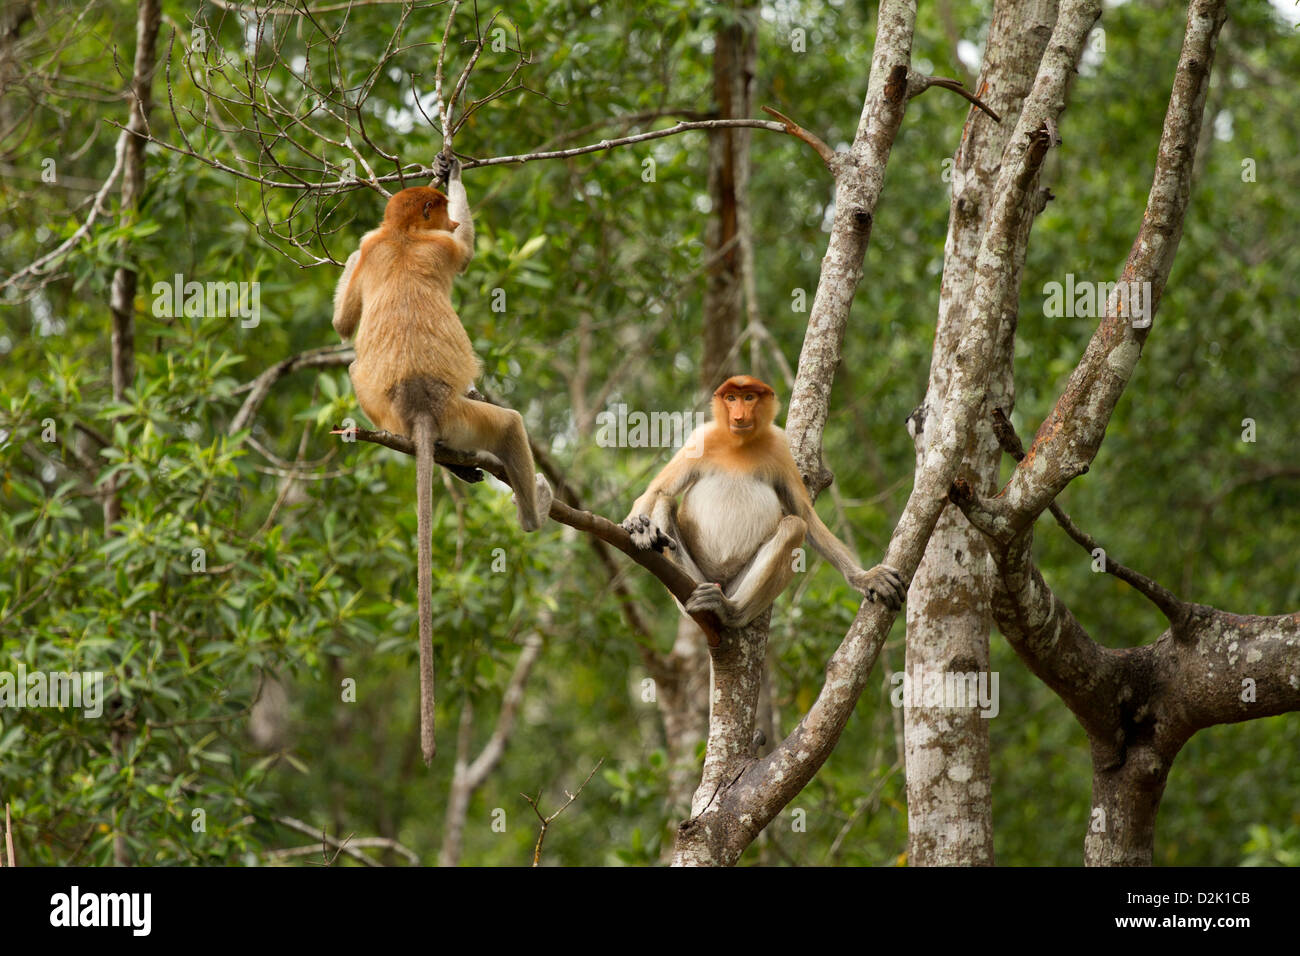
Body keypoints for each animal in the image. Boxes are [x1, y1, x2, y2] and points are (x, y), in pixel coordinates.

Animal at [332, 153, 552, 763]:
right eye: (436, 214)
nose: (445, 213)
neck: (403, 234)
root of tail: (421, 404)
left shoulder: (378, 242)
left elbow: (344, 320)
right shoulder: (439, 248)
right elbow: (466, 250)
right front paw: (450, 174)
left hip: (389, 409)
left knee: (354, 368)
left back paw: (457, 465)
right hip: (460, 412)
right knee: (509, 423)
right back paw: (535, 511)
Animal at [620, 375, 906, 629]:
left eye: (749, 397)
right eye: (731, 398)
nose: (738, 416)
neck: (739, 444)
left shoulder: (779, 446)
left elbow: (805, 515)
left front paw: (865, 577)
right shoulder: (701, 438)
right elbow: (656, 491)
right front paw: (639, 527)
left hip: (738, 582)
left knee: (794, 526)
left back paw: (729, 610)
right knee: (665, 502)